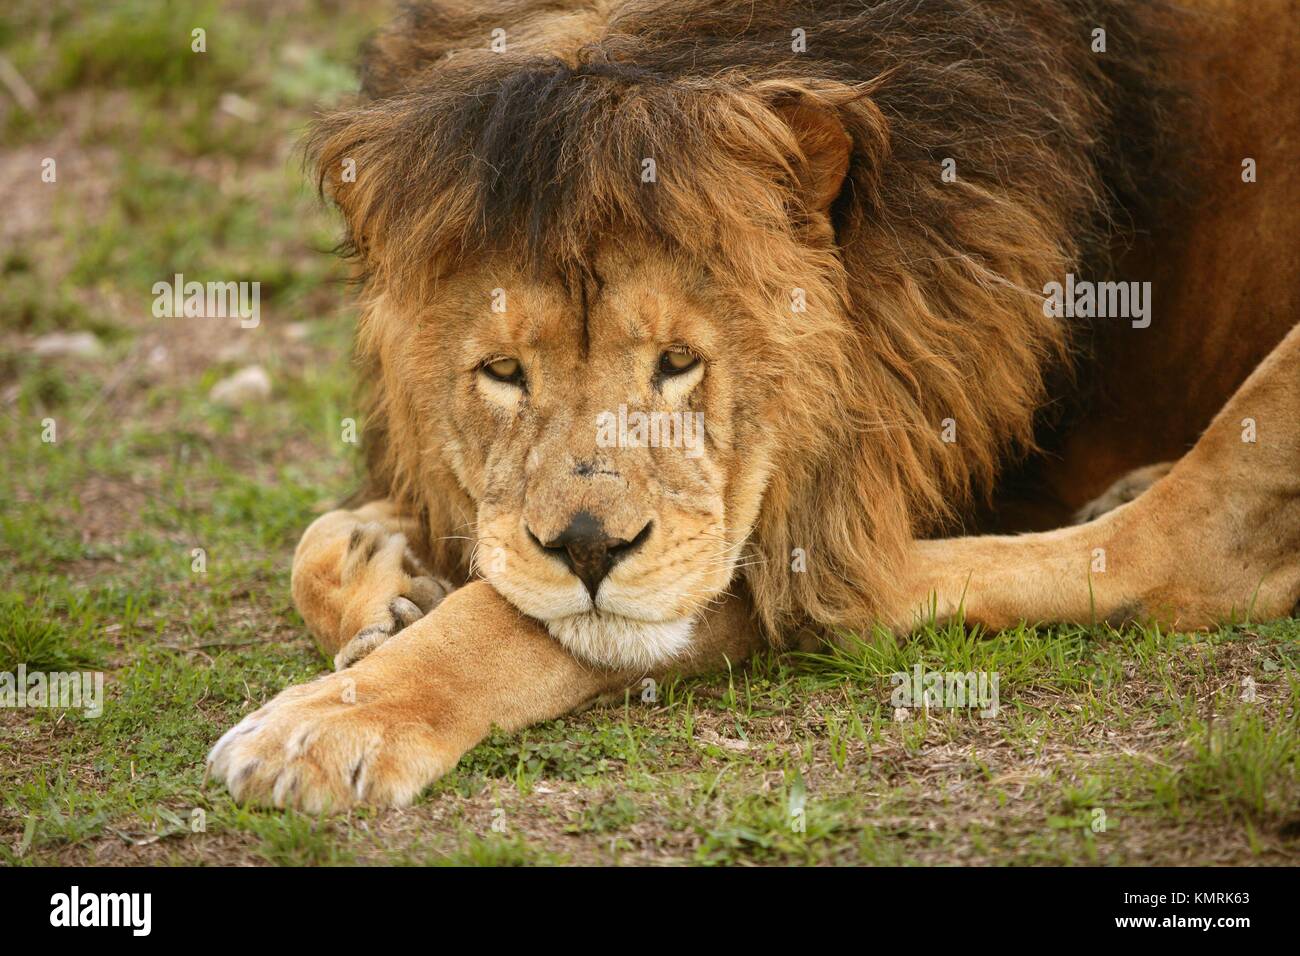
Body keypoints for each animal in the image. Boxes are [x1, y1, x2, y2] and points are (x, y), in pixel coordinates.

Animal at [208, 0, 1300, 811]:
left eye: (679, 361)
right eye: (504, 370)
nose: (592, 551)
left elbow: (510, 616)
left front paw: (332, 716)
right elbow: (319, 541)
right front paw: (379, 578)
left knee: (1184, 547)